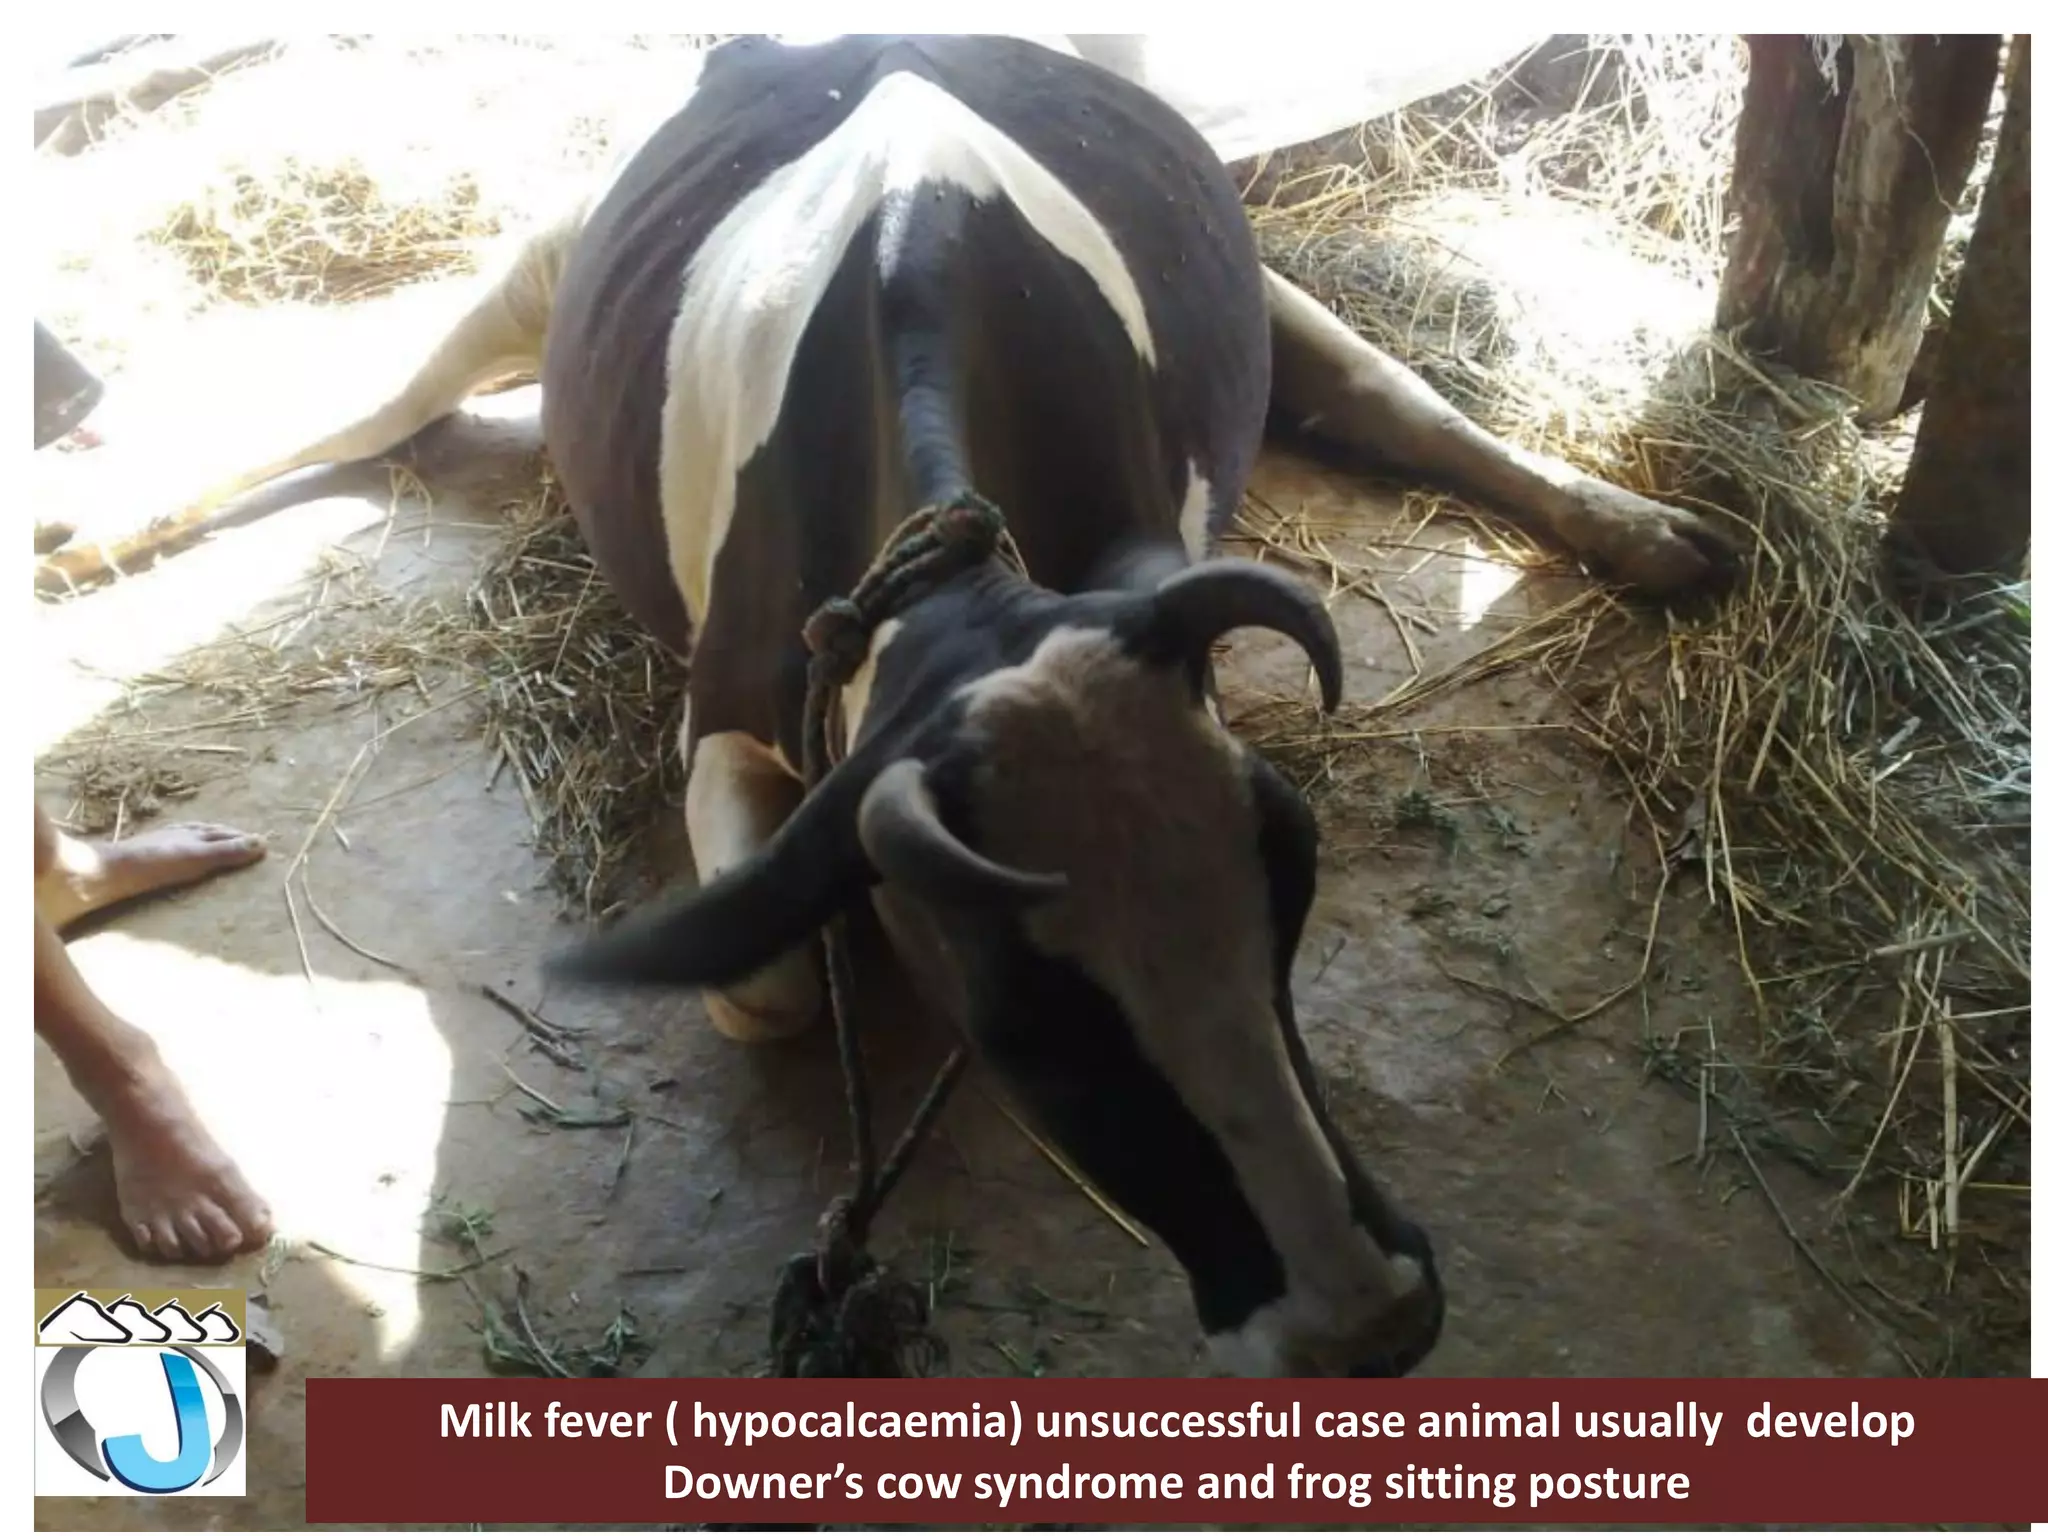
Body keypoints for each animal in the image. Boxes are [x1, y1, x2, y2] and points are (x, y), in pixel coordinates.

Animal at [40, 35, 1735, 1374]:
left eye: (1287, 896)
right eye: (1029, 1007)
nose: (1364, 1319)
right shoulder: (729, 714)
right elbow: (772, 979)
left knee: (1398, 392)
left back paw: (1648, 530)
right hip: (541, 256)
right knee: (377, 404)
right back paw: (94, 530)